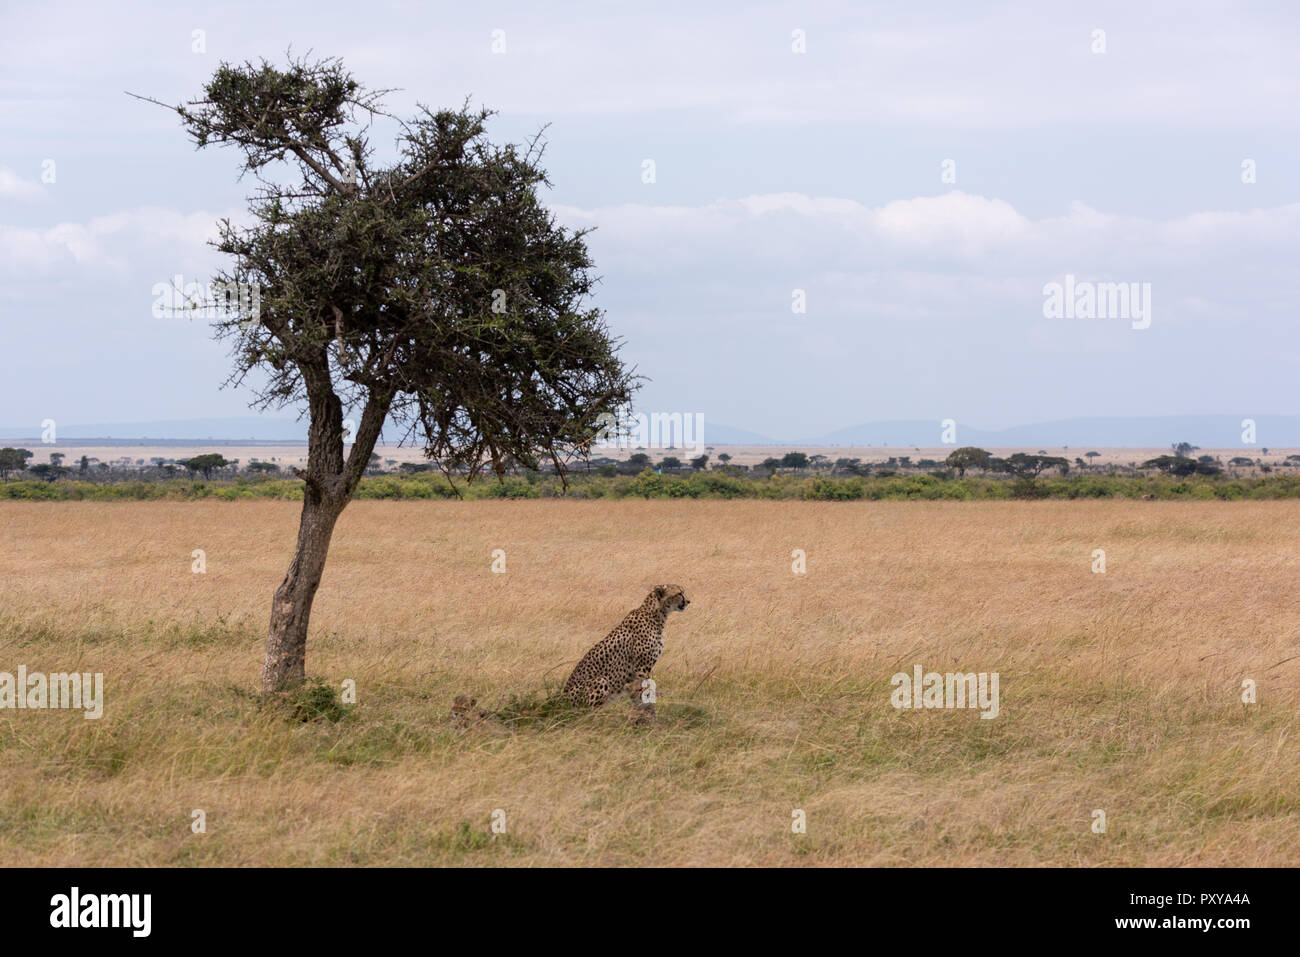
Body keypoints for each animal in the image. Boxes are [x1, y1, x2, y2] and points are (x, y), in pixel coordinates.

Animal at [563, 584, 689, 714]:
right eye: (679, 593)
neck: (656, 614)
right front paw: (647, 711)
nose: (688, 601)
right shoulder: (642, 668)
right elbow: (645, 691)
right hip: (601, 681)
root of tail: (562, 699)